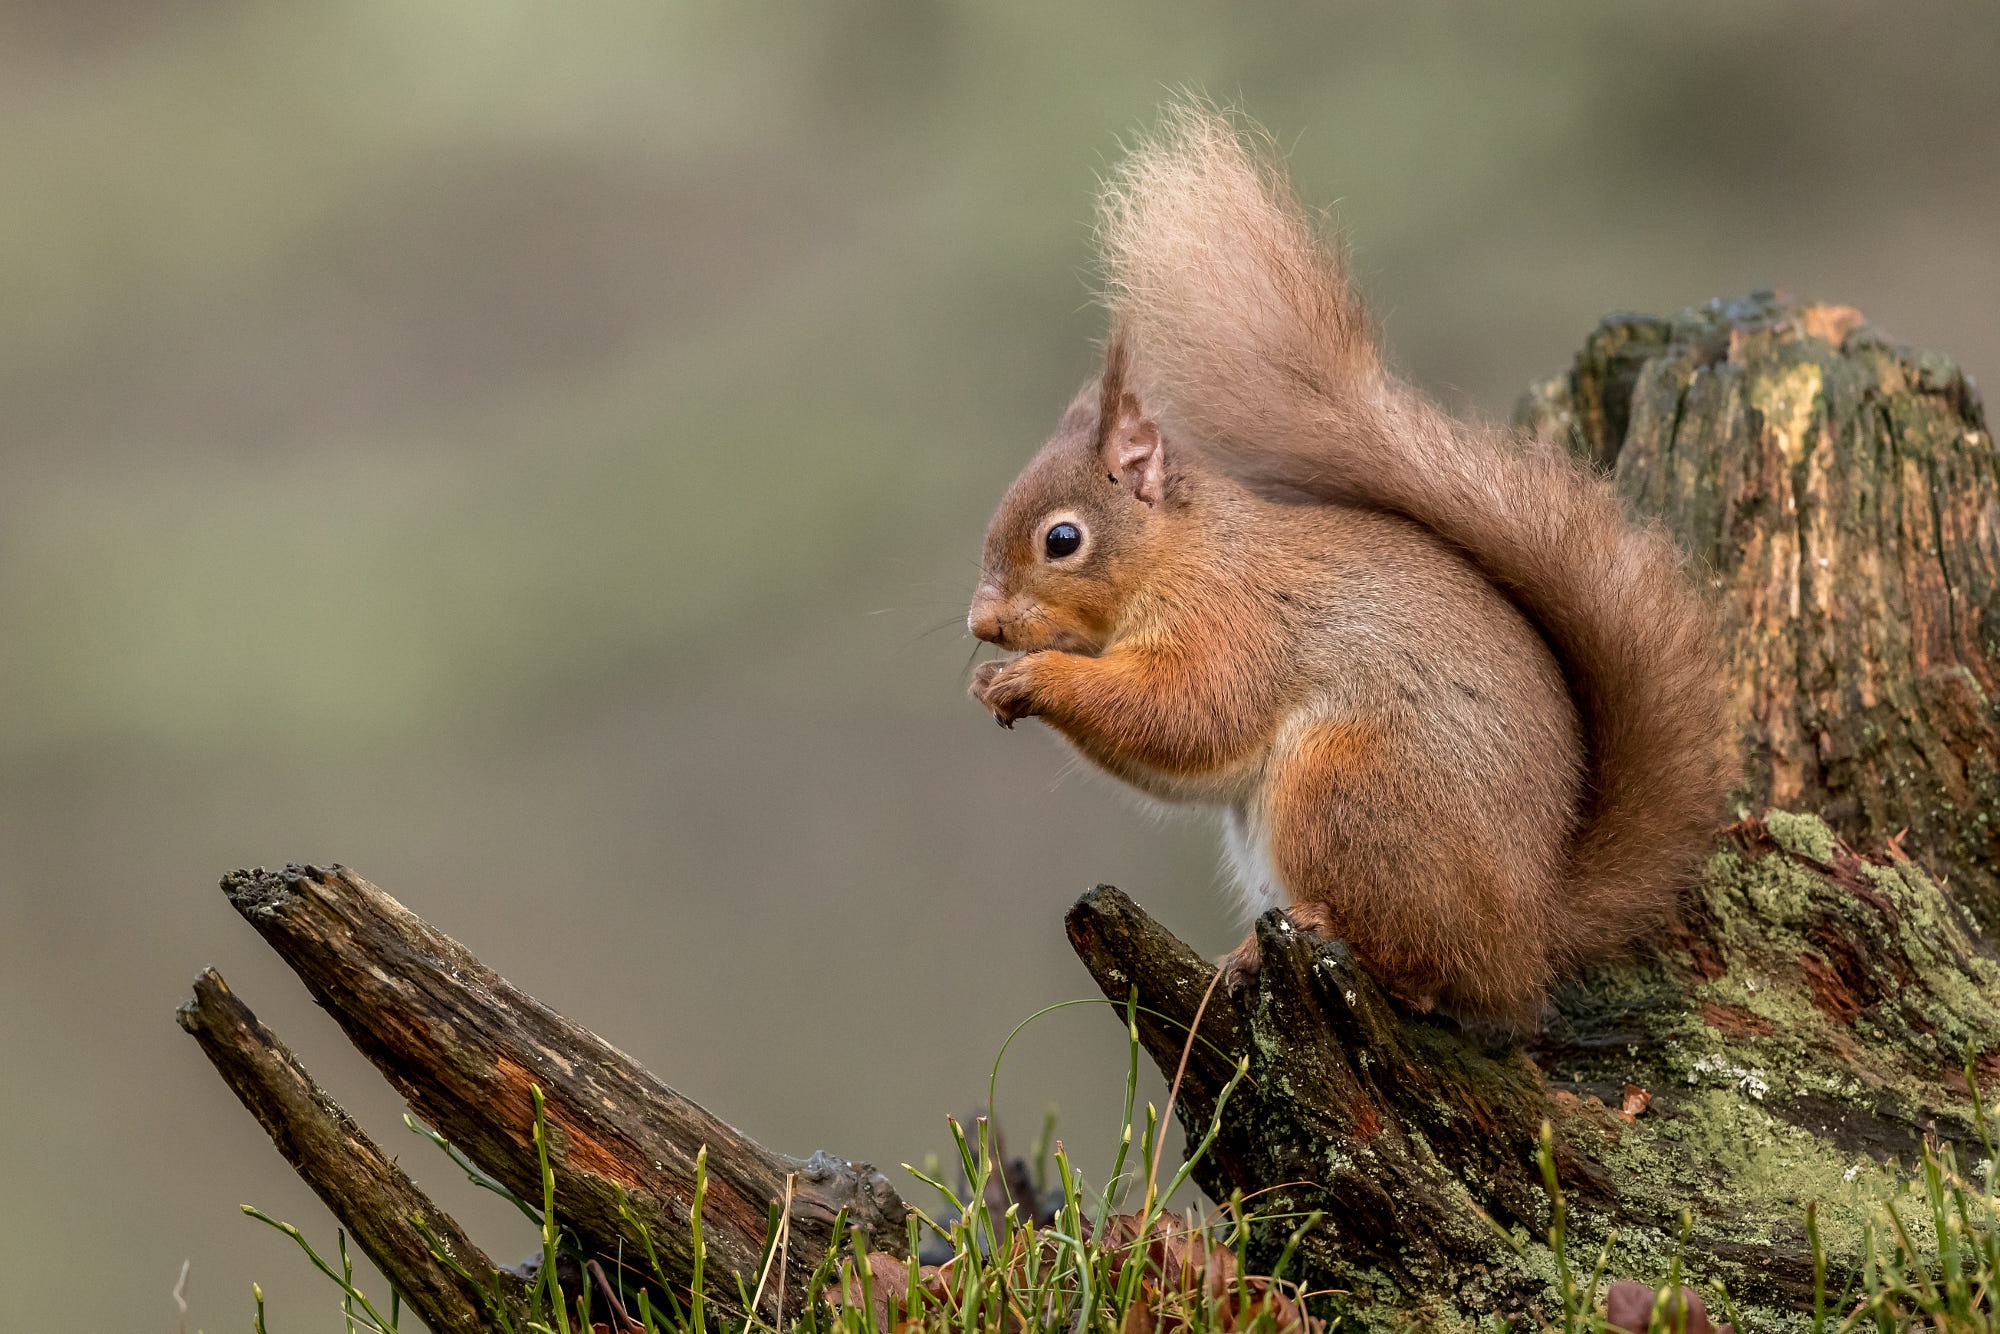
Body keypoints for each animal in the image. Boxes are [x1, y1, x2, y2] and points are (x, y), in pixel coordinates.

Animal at [966, 102, 1734, 1027]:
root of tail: (1531, 935)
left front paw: (1034, 677)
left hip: (1346, 788)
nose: (980, 622)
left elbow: (1189, 712)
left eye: (1062, 540)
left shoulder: (1236, 619)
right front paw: (992, 681)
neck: (1182, 552)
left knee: (1428, 968)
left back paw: (1322, 939)